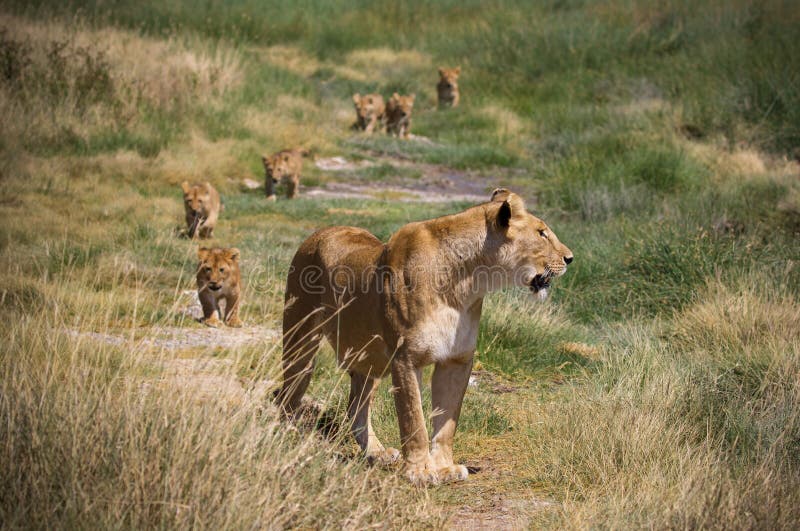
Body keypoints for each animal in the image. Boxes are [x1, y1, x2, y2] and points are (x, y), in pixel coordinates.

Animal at [275, 189, 573, 486]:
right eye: (541, 233)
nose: (570, 258)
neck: (468, 283)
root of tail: (319, 232)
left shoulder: (456, 360)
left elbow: (447, 421)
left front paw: (444, 467)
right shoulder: (406, 358)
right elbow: (414, 419)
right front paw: (419, 472)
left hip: (368, 359)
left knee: (356, 407)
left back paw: (376, 453)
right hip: (300, 341)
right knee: (288, 393)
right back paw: (285, 437)